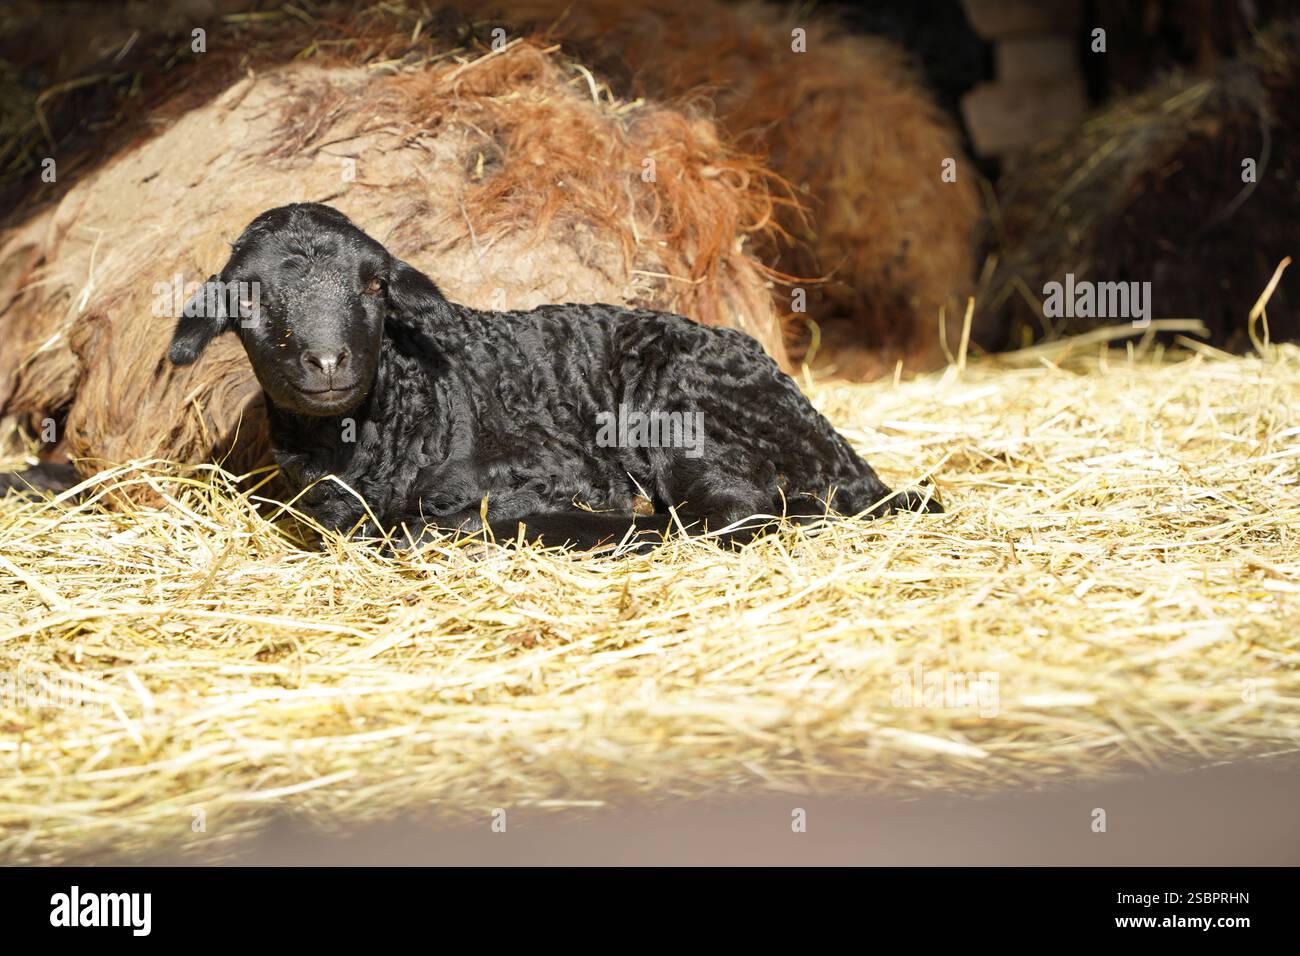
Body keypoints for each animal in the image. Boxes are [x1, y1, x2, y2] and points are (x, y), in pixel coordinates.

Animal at [165, 203, 940, 550]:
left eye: (376, 285)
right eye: (248, 295)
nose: (328, 362)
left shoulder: (554, 468)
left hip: (680, 409)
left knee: (738, 508)